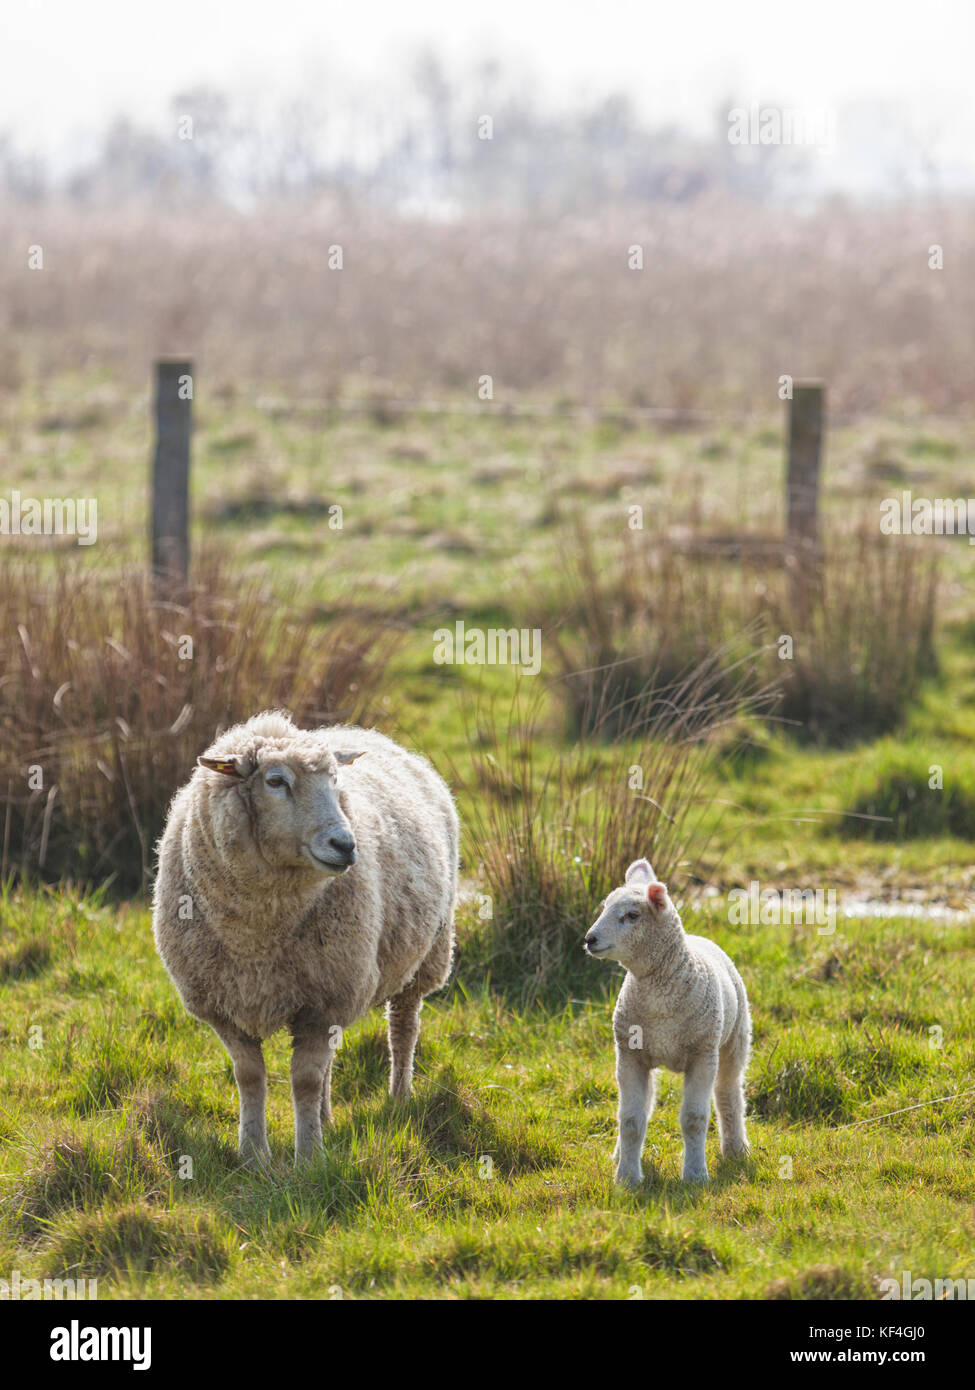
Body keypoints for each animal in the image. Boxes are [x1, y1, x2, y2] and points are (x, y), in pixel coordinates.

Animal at [152, 710, 458, 1165]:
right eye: (276, 781)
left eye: (335, 781)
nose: (345, 845)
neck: (257, 933)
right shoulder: (226, 1006)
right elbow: (250, 1077)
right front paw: (253, 1155)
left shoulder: (327, 998)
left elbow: (305, 1081)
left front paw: (310, 1158)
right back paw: (326, 1116)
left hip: (425, 954)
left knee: (403, 1027)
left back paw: (399, 1096)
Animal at [584, 858, 750, 1184]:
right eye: (604, 907)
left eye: (632, 915)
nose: (589, 939)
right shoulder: (629, 1054)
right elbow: (631, 1119)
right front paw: (627, 1177)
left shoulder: (702, 1054)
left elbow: (695, 1119)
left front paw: (696, 1174)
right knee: (646, 1104)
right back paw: (620, 1154)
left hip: (734, 1040)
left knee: (729, 1093)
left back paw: (736, 1148)